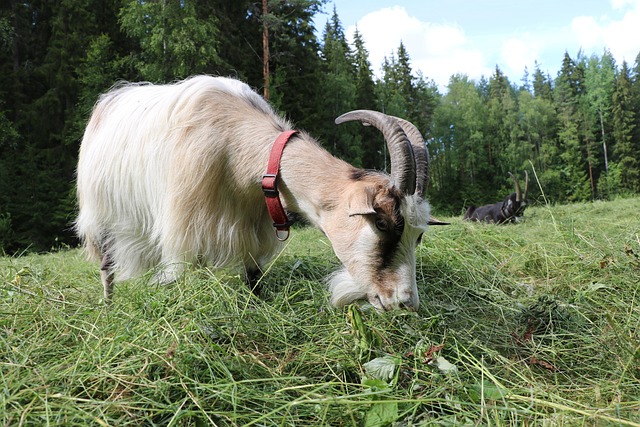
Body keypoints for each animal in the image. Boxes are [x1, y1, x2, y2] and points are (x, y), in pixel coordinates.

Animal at [76, 75, 442, 311]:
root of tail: (110, 100)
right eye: (381, 223)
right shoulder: (187, 225)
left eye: (418, 235)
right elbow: (183, 273)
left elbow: (254, 274)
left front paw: (258, 305)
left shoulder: (253, 222)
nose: (405, 303)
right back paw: (107, 305)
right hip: (101, 214)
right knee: (107, 265)